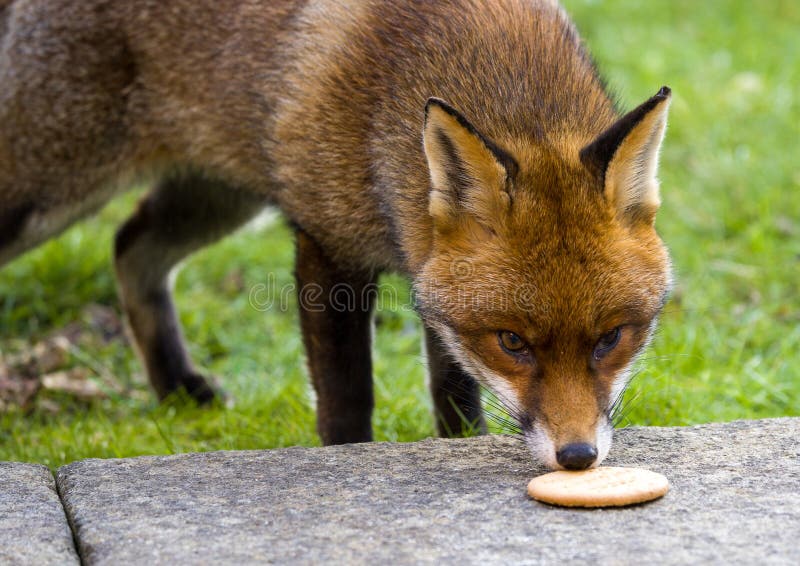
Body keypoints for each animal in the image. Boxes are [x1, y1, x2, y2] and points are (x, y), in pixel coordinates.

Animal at [0, 0, 672, 470]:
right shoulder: (329, 245)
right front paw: (348, 463)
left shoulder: (427, 266)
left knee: (129, 247)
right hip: (43, 197)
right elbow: (347, 398)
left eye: (611, 338)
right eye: (512, 342)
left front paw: (460, 441)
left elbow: (454, 393)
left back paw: (176, 388)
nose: (577, 458)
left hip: (220, 197)